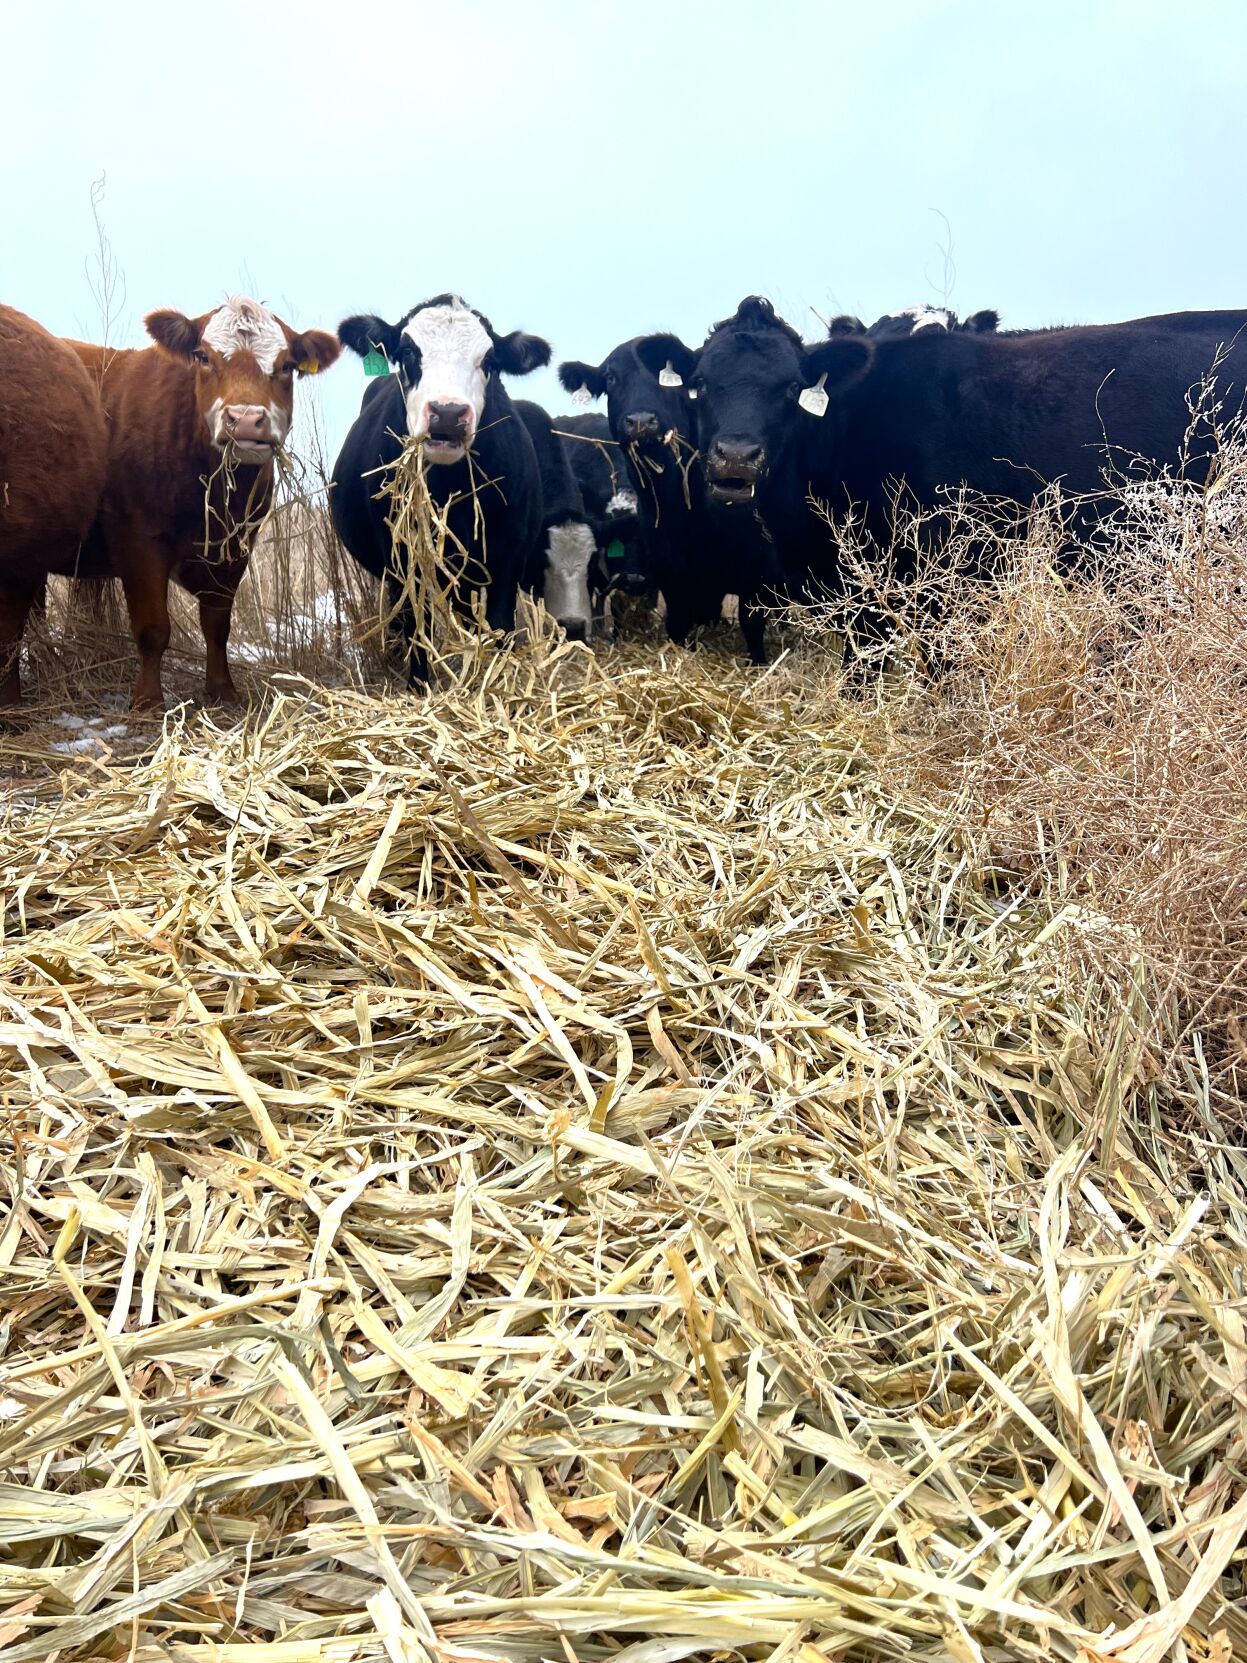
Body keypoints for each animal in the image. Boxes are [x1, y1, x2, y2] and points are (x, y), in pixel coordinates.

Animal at [65, 297, 340, 708]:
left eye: (287, 365)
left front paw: (222, 689)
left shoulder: (236, 549)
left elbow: (217, 625)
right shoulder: (138, 541)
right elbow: (153, 628)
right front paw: (148, 701)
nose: (246, 419)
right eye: (204, 357)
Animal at [332, 295, 549, 685]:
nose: (447, 414)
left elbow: (499, 626)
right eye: (407, 352)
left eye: (490, 361)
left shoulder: (509, 555)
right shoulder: (404, 557)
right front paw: (420, 686)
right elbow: (417, 626)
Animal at [557, 338, 784, 663]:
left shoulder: (759, 572)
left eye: (665, 380)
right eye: (611, 377)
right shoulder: (670, 574)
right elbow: (676, 625)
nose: (641, 422)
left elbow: (752, 624)